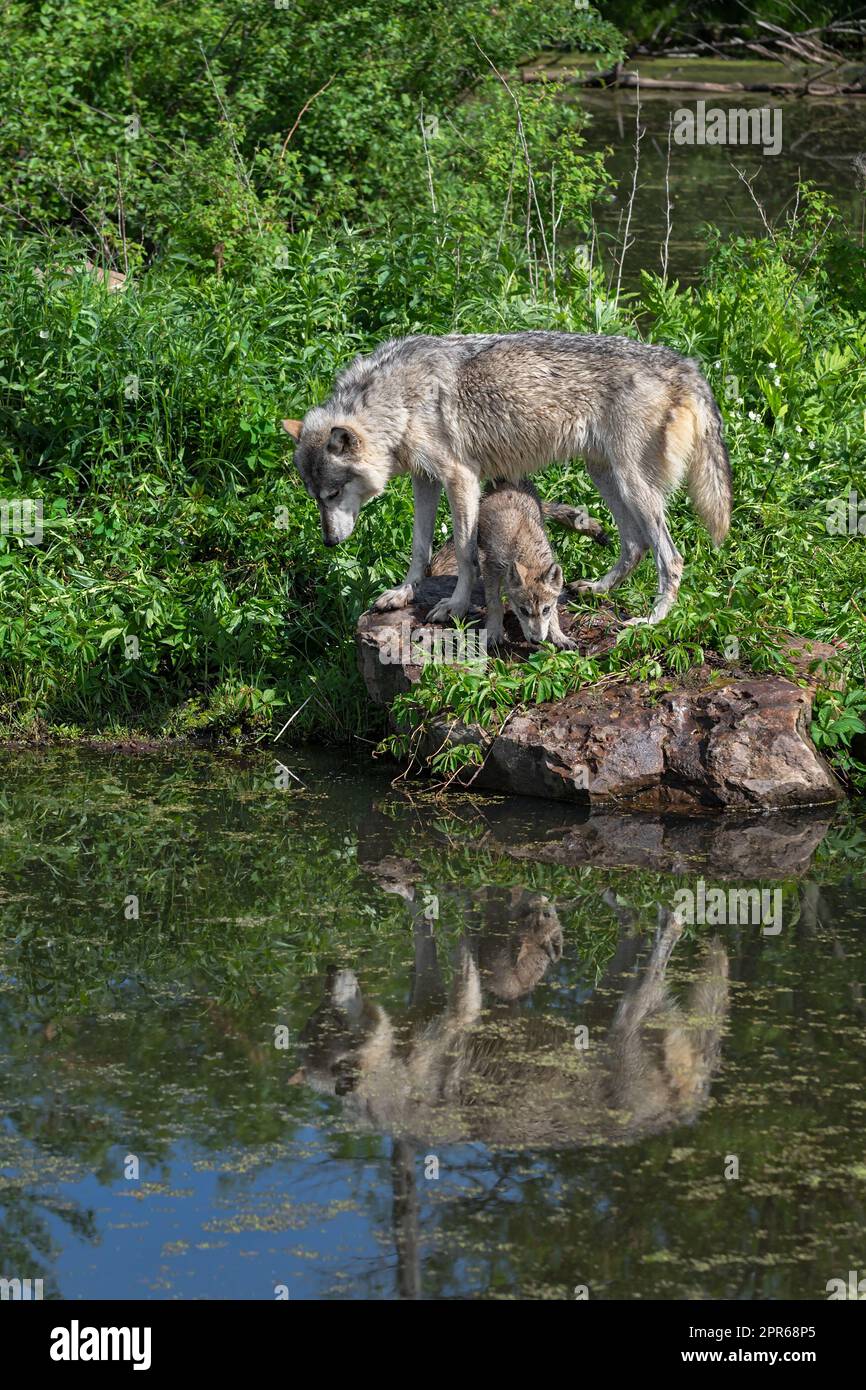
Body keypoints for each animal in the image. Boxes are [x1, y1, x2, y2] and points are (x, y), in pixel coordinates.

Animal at [283, 331, 732, 626]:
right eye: (315, 496)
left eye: (333, 493)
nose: (329, 542)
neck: (400, 402)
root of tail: (686, 364)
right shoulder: (425, 481)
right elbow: (419, 547)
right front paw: (403, 594)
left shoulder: (461, 479)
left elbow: (464, 552)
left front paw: (455, 606)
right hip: (606, 476)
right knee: (635, 544)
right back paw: (599, 589)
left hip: (633, 484)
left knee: (670, 557)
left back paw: (653, 619)